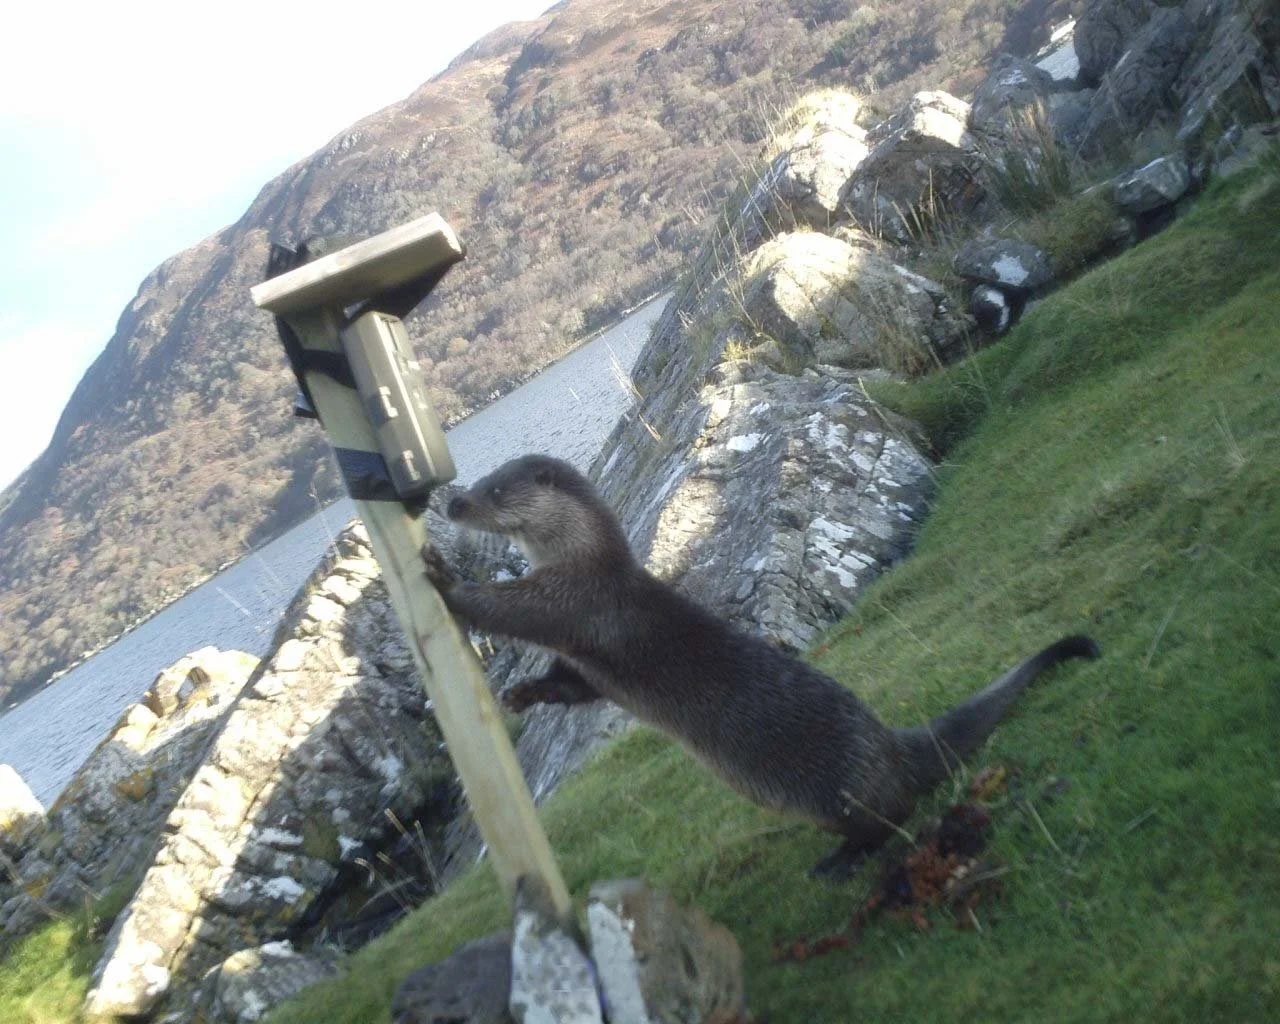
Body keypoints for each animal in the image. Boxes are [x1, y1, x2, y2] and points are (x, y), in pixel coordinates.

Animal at [423, 454, 1099, 875]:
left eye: (495, 490)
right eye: (480, 480)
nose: (454, 503)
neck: (585, 559)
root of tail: (892, 746)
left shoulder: (576, 600)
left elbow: (513, 611)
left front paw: (446, 581)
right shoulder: (584, 656)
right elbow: (574, 687)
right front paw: (522, 696)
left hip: (845, 789)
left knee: (894, 817)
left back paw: (845, 861)